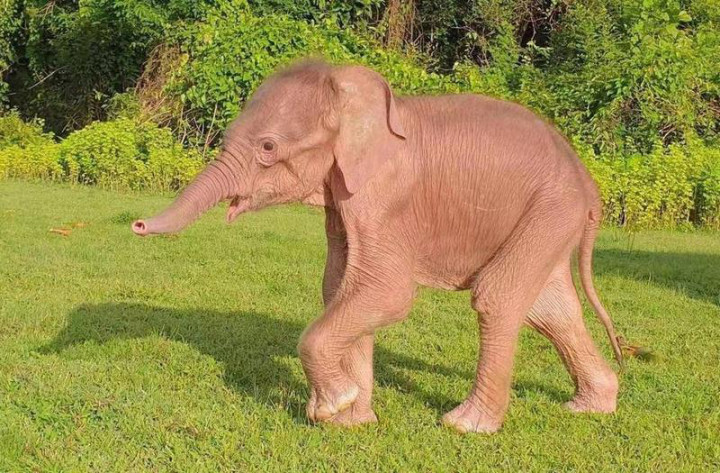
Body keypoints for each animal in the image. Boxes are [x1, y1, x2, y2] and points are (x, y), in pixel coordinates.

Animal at [132, 59, 623, 433]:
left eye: (268, 147)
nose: (136, 224)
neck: (351, 93)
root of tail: (589, 184)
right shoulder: (342, 197)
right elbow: (341, 287)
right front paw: (352, 422)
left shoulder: (384, 197)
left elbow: (385, 291)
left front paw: (331, 406)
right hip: (549, 218)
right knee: (549, 309)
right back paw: (591, 406)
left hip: (550, 207)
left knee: (498, 297)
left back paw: (464, 425)